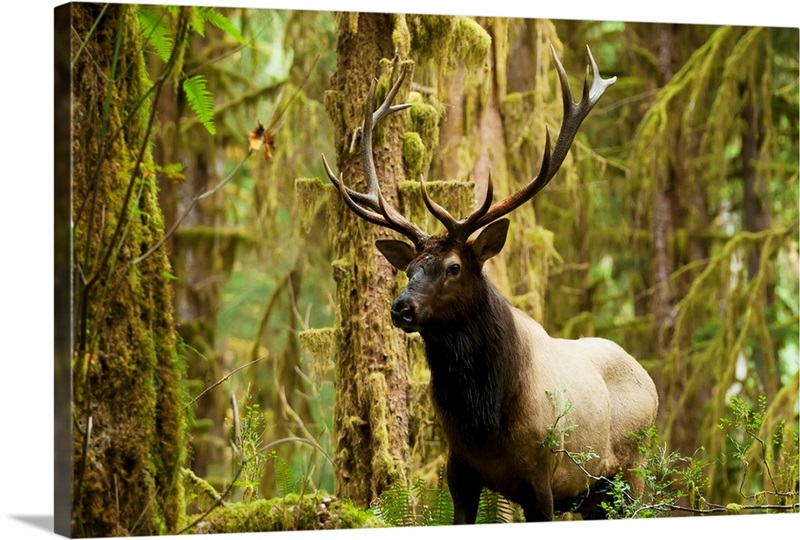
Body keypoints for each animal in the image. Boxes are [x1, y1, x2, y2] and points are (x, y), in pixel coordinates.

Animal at [321, 46, 659, 523]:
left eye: (454, 267)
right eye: (409, 269)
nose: (401, 307)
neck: (483, 423)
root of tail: (650, 382)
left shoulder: (541, 478)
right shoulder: (459, 469)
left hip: (632, 473)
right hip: (594, 495)